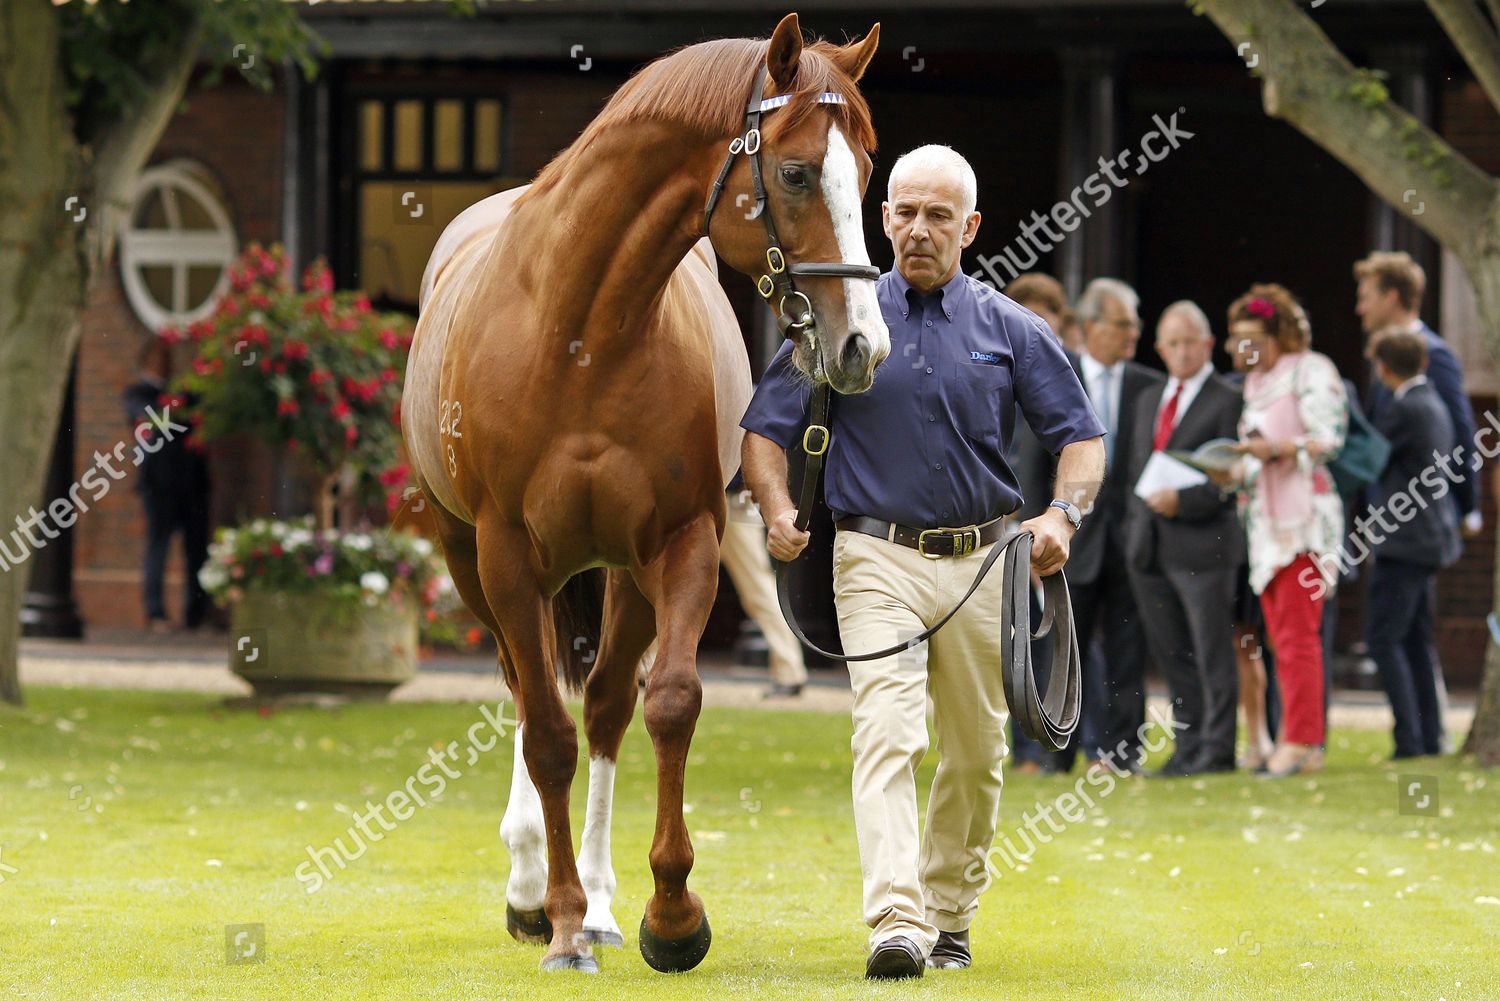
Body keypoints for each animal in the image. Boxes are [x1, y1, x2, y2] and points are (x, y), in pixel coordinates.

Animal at [401, 13, 887, 974]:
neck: (582, 331)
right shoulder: (505, 556)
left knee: (605, 705)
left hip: (619, 573)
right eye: (797, 171)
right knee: (527, 690)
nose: (862, 344)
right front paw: (554, 920)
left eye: (867, 169)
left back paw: (597, 901)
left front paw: (669, 911)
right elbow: (545, 734)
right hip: (473, 562)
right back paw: (535, 890)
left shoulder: (682, 539)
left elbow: (666, 703)